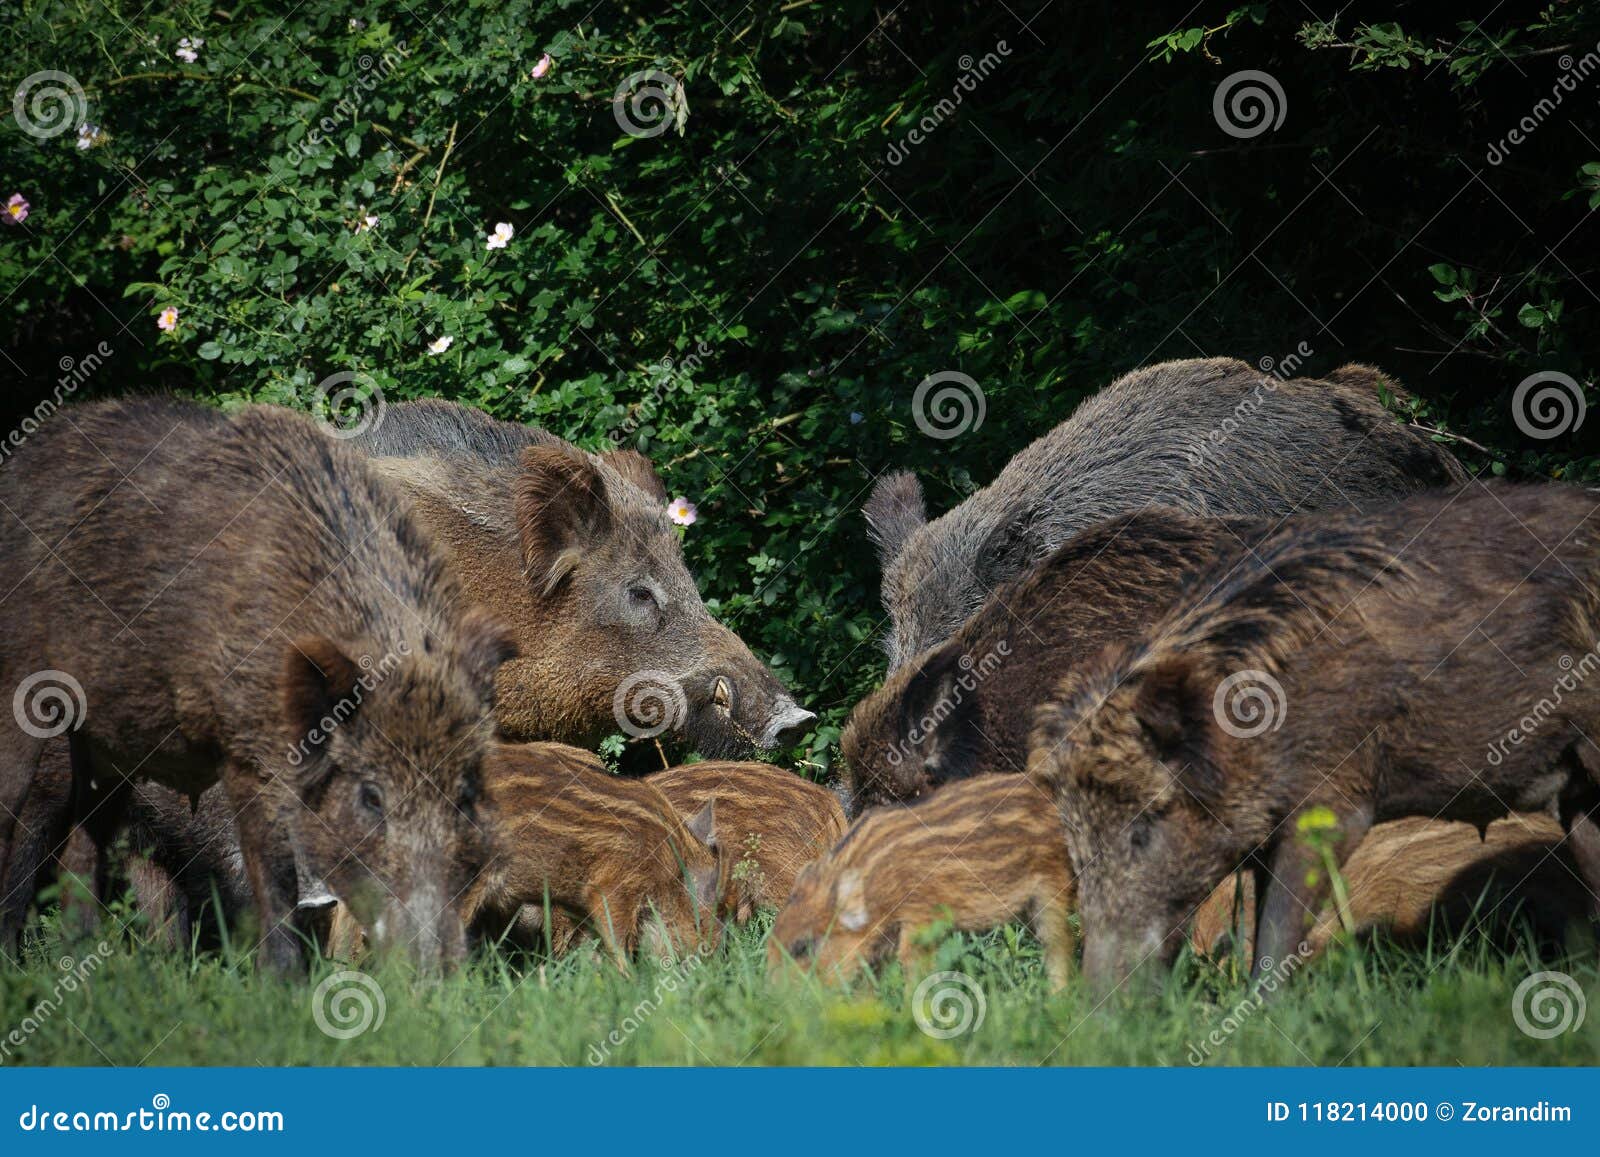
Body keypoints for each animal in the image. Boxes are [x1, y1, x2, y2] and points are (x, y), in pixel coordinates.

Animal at [766, 775, 1077, 988]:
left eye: (803, 947)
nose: (776, 1000)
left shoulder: (922, 918)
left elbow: (913, 965)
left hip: (1052, 888)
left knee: (1059, 943)